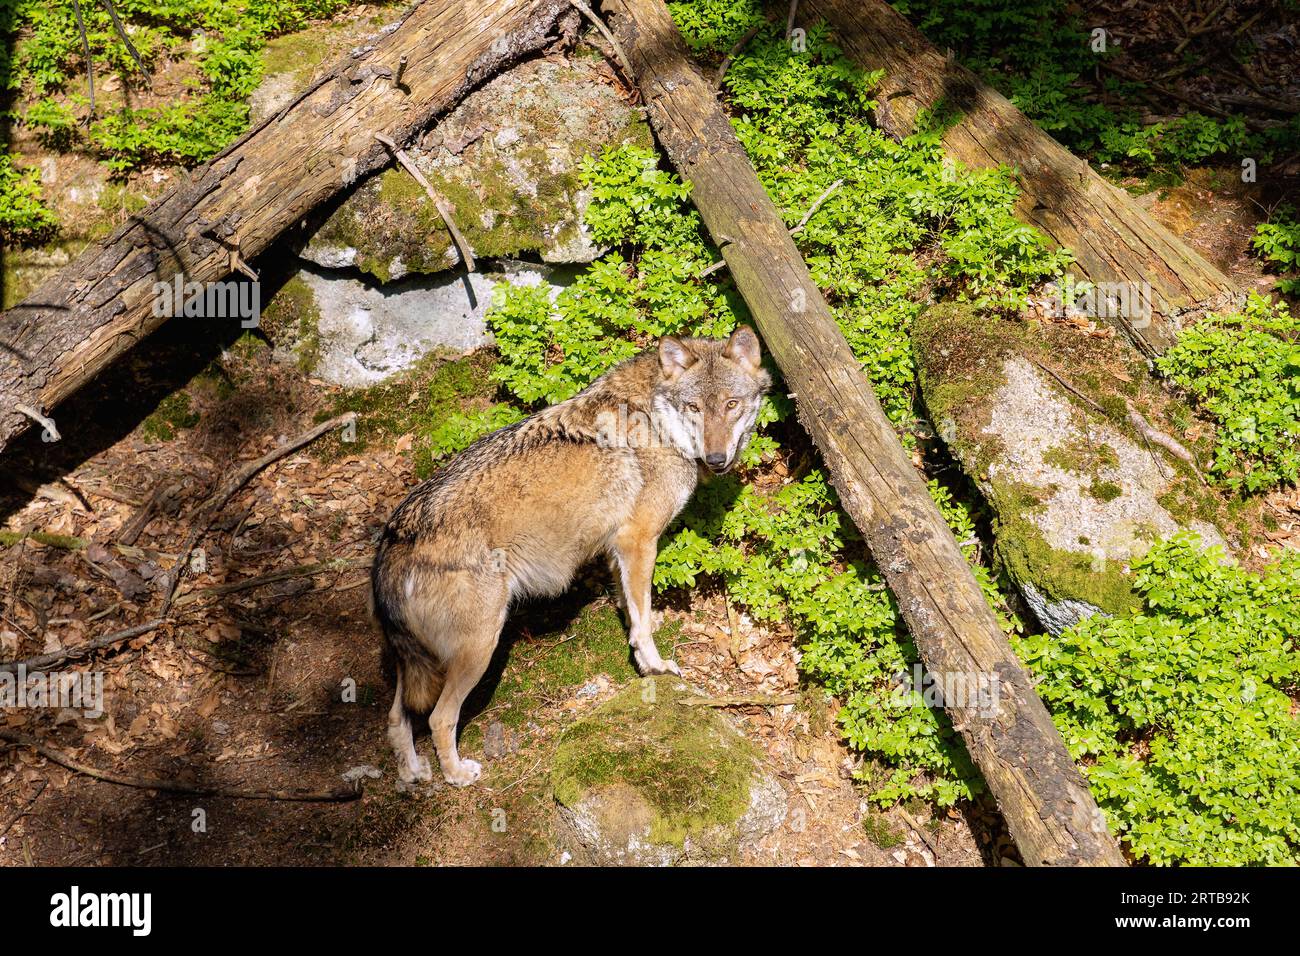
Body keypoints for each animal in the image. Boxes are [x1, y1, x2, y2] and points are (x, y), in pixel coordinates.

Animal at [372, 327, 771, 786]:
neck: (658, 419)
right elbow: (642, 617)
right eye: (695, 408)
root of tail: (393, 539)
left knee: (395, 718)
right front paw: (654, 666)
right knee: (439, 717)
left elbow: (632, 606)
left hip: (420, 666)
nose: (716, 459)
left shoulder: (618, 546)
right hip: (478, 648)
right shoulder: (638, 540)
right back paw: (457, 774)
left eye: (731, 404)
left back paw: (413, 773)